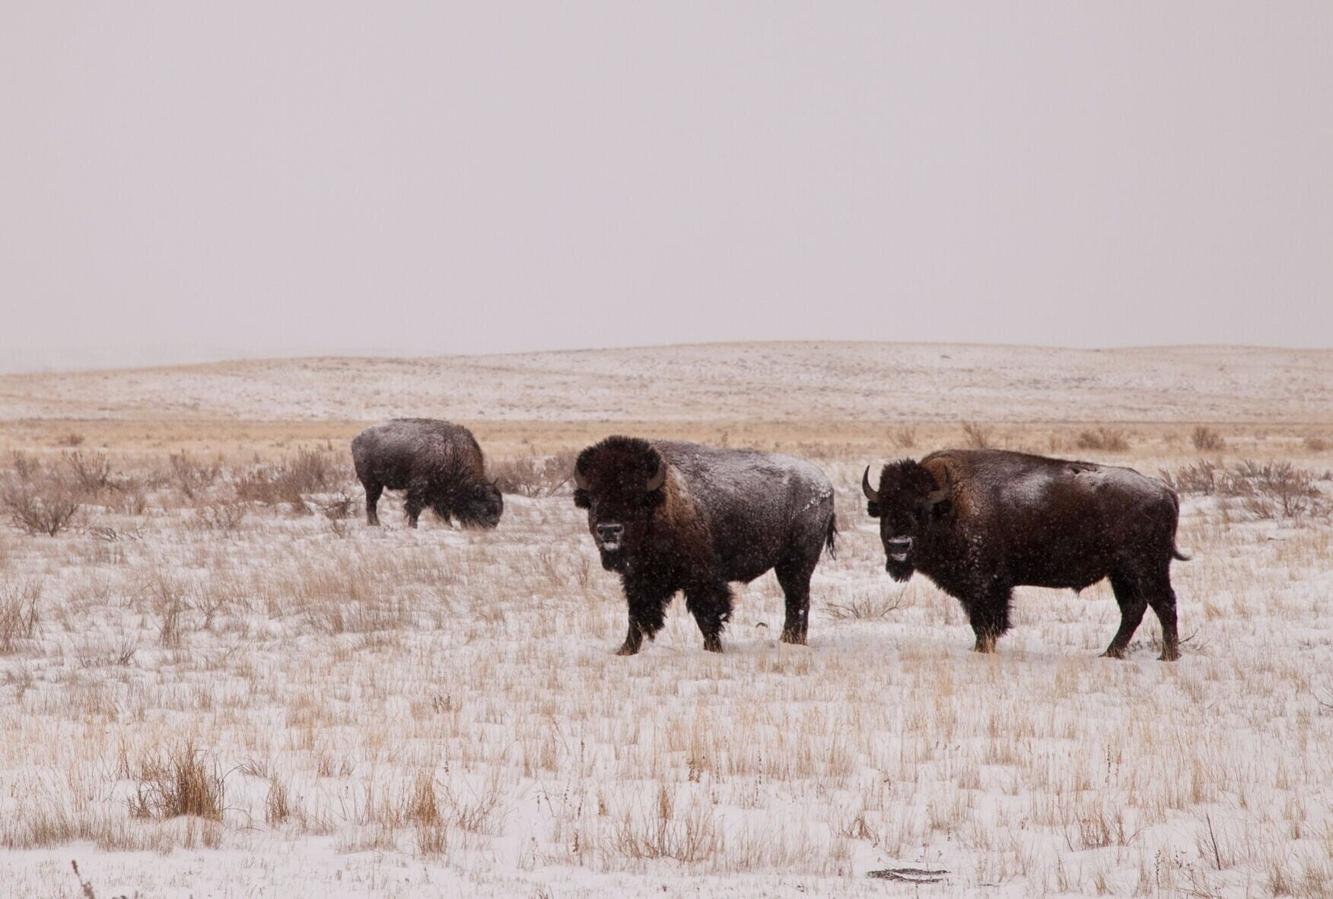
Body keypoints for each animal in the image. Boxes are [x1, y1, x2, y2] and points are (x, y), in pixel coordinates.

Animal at [351, 419, 502, 529]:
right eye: (486, 508)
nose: (492, 525)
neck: (453, 452)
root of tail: (357, 439)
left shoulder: (442, 493)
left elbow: (443, 511)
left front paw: (448, 525)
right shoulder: (419, 487)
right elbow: (415, 507)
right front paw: (413, 526)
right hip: (372, 484)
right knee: (371, 503)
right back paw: (375, 523)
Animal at [574, 436, 837, 655]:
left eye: (635, 498)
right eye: (593, 498)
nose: (609, 530)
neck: (662, 500)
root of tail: (825, 483)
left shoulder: (702, 577)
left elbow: (707, 614)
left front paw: (713, 649)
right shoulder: (639, 578)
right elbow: (636, 615)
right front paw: (625, 651)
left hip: (797, 563)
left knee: (797, 600)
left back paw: (792, 641)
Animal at [863, 449, 1184, 660]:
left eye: (920, 510)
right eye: (886, 509)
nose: (899, 545)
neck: (951, 504)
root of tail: (1163, 490)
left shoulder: (986, 586)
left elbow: (986, 624)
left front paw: (982, 651)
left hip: (1147, 569)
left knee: (1163, 604)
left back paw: (1166, 656)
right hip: (1122, 574)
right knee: (1134, 609)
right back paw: (1109, 653)